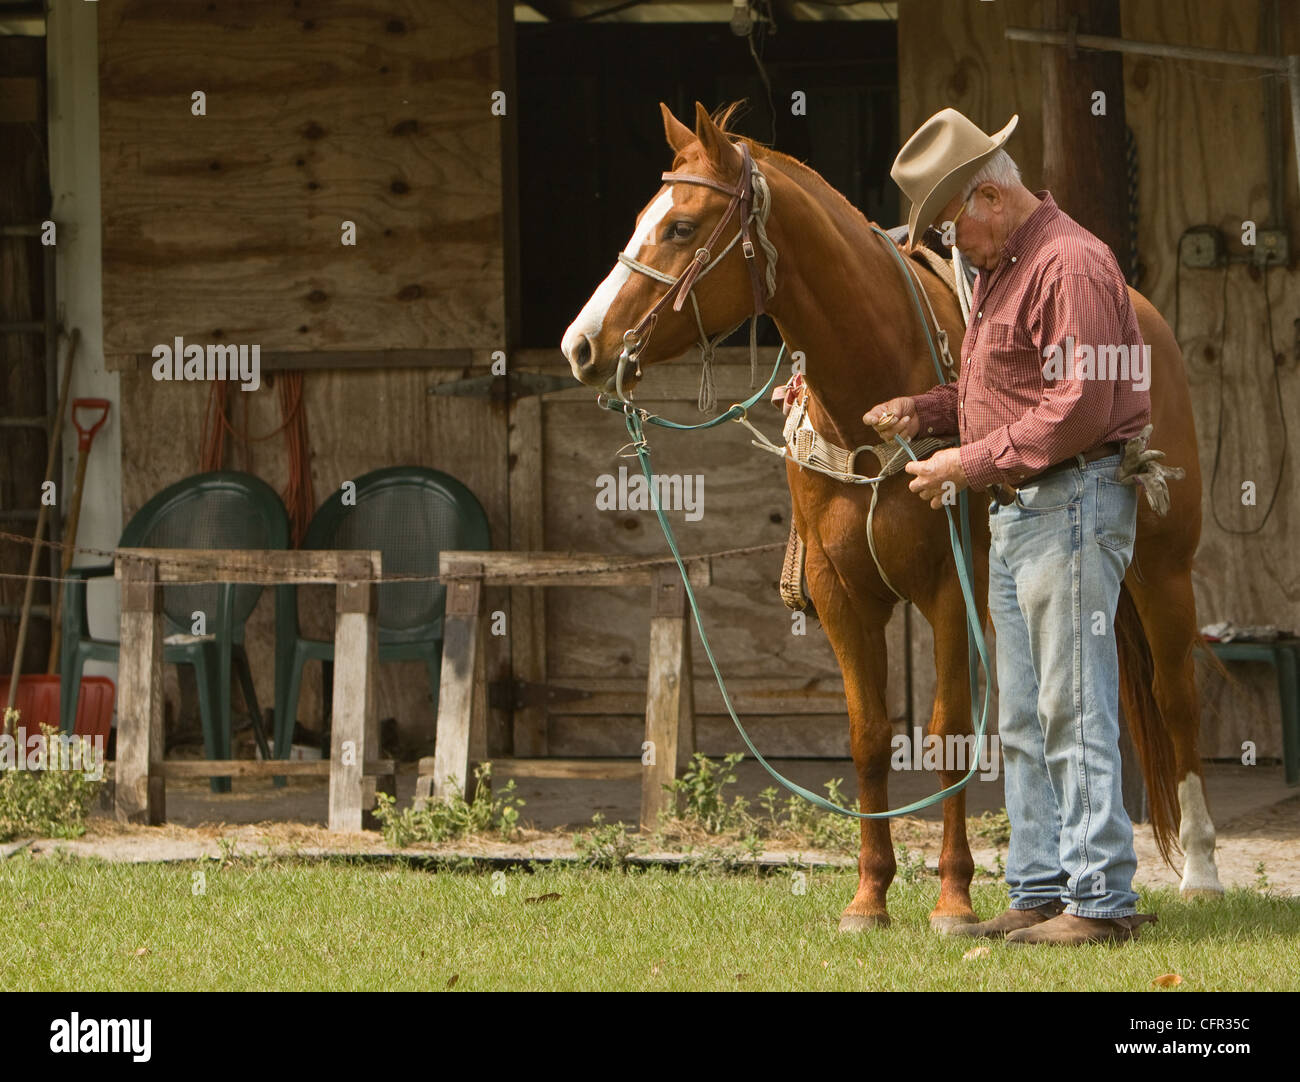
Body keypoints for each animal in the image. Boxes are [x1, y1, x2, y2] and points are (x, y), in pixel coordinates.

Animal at [561, 101, 1223, 931]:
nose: (581, 346)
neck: (866, 398)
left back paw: (1200, 871)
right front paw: (869, 896)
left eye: (681, 227)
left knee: (1175, 700)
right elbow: (870, 737)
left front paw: (953, 900)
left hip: (1163, 569)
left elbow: (945, 735)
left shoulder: (949, 590)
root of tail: (1140, 312)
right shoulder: (843, 594)